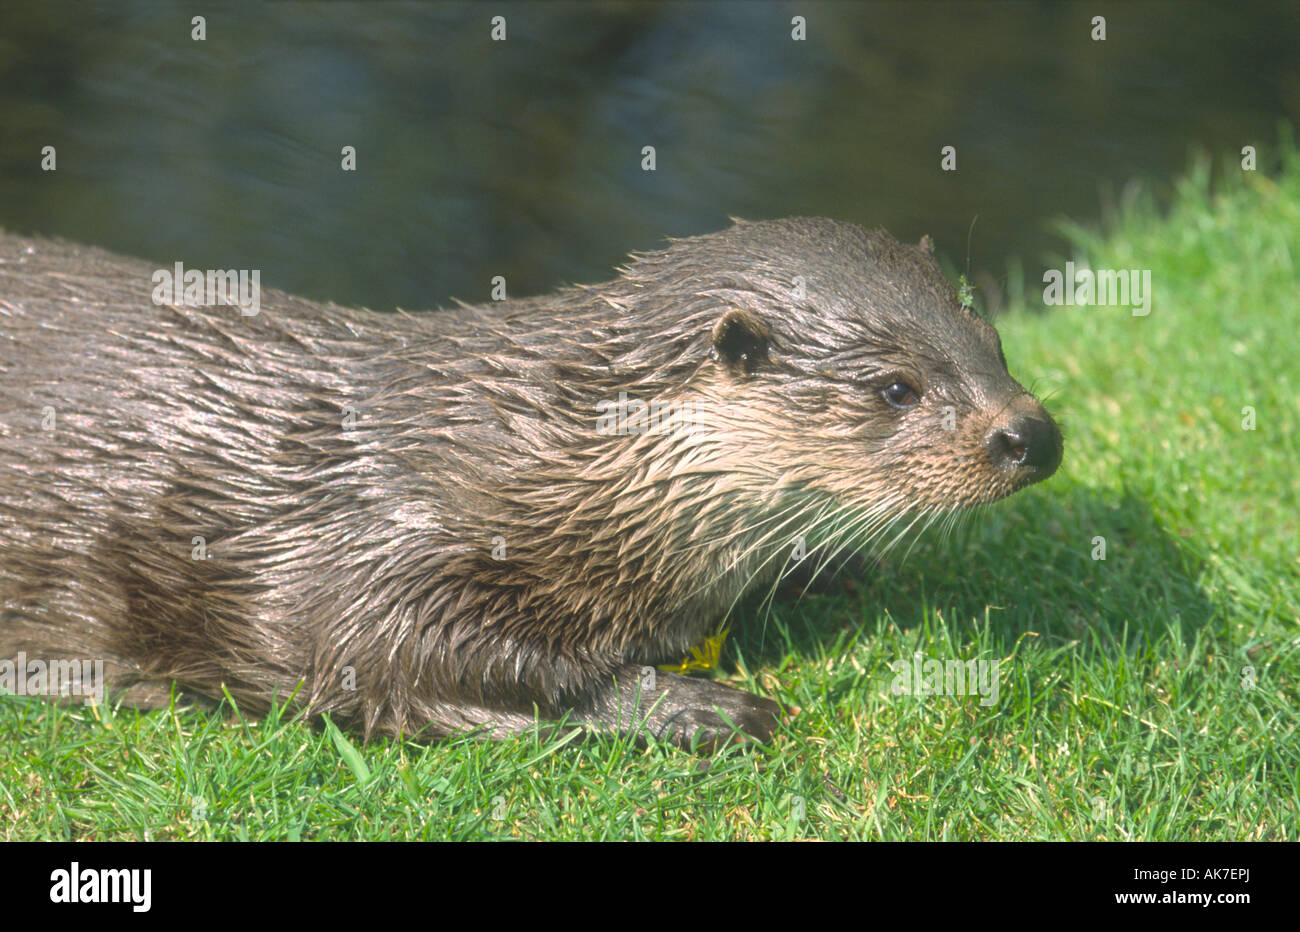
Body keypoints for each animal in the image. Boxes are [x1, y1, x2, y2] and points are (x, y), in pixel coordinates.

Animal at [0, 219, 1061, 750]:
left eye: (994, 340)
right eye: (897, 388)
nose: (1033, 434)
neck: (540, 467)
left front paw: (822, 569)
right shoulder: (378, 561)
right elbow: (400, 660)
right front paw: (689, 708)